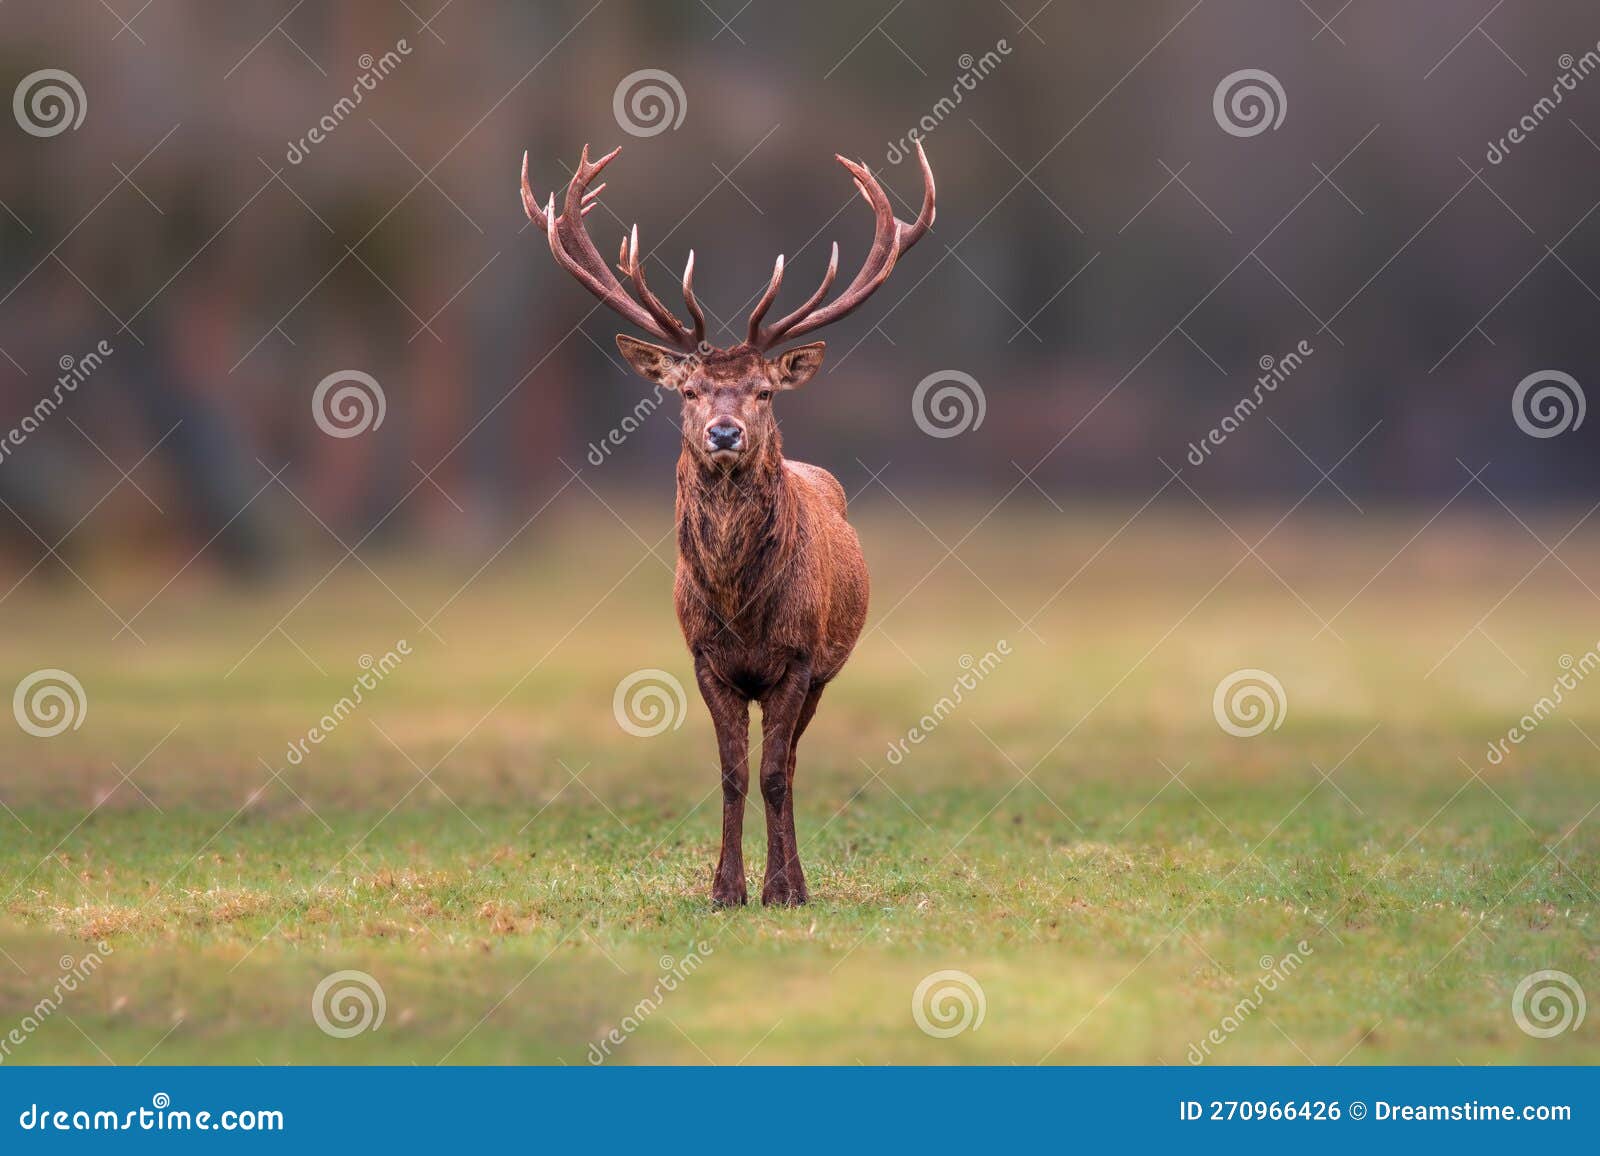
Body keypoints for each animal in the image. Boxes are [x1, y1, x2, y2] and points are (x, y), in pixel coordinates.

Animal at [520, 141, 935, 905]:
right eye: (688, 390)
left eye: (764, 391)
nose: (723, 432)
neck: (740, 607)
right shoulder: (705, 659)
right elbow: (732, 775)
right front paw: (724, 890)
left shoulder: (798, 658)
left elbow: (773, 774)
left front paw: (781, 890)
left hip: (827, 670)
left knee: (793, 764)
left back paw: (797, 879)